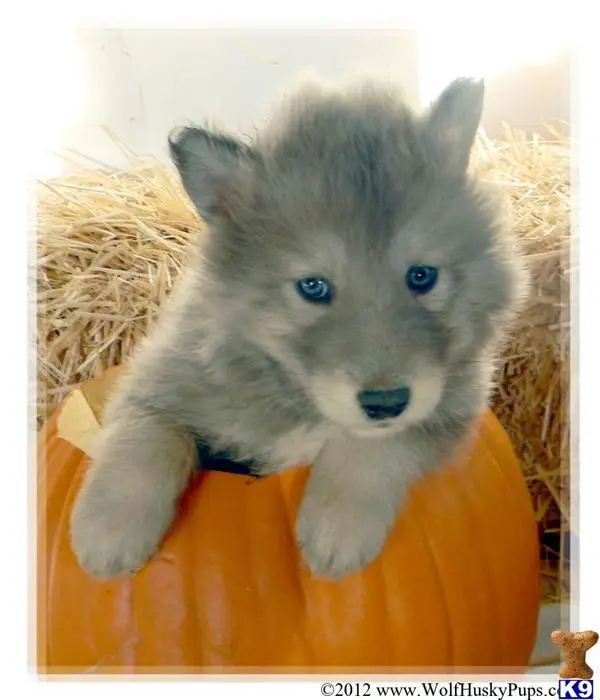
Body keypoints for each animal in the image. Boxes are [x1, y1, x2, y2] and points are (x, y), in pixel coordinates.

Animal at [70, 77, 528, 580]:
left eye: (422, 276)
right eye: (313, 286)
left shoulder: (449, 410)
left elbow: (376, 447)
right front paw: (107, 533)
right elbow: (143, 439)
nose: (386, 403)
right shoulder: (156, 385)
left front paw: (337, 528)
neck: (297, 399)